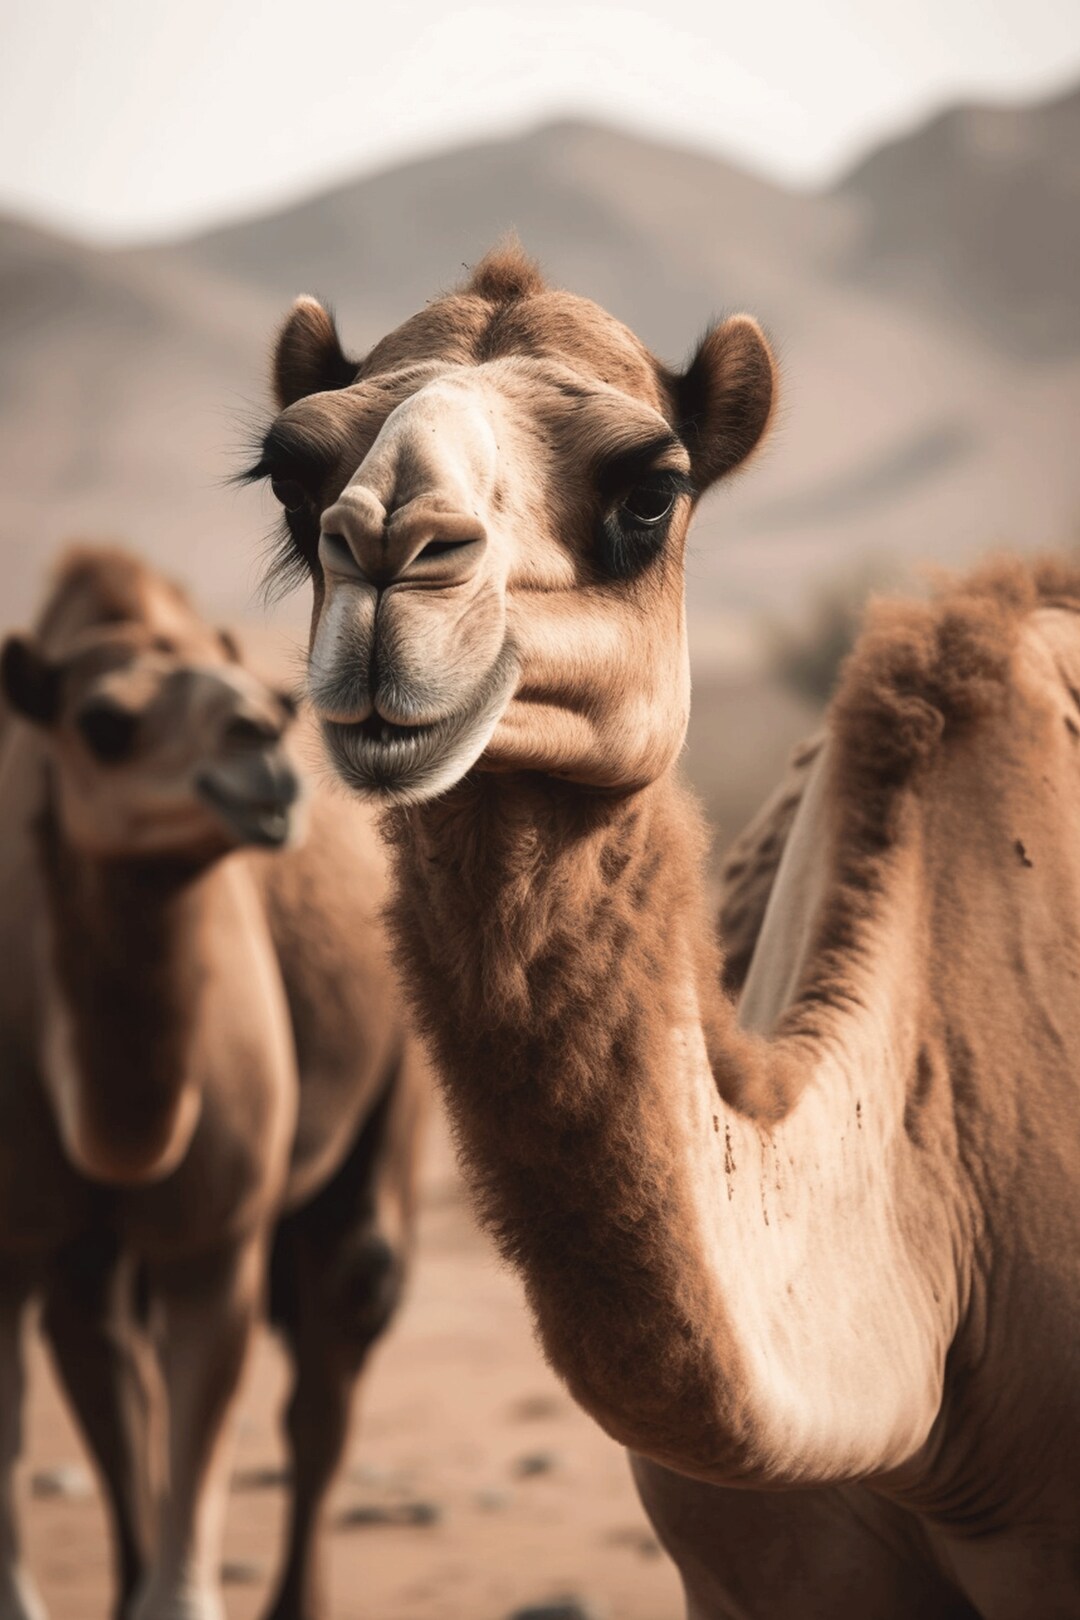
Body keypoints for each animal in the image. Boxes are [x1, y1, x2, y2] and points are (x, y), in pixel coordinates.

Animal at [0, 547, 425, 1620]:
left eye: (274, 704)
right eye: (103, 723)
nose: (265, 748)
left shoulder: (218, 1234)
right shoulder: (18, 1231)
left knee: (338, 1329)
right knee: (108, 1363)